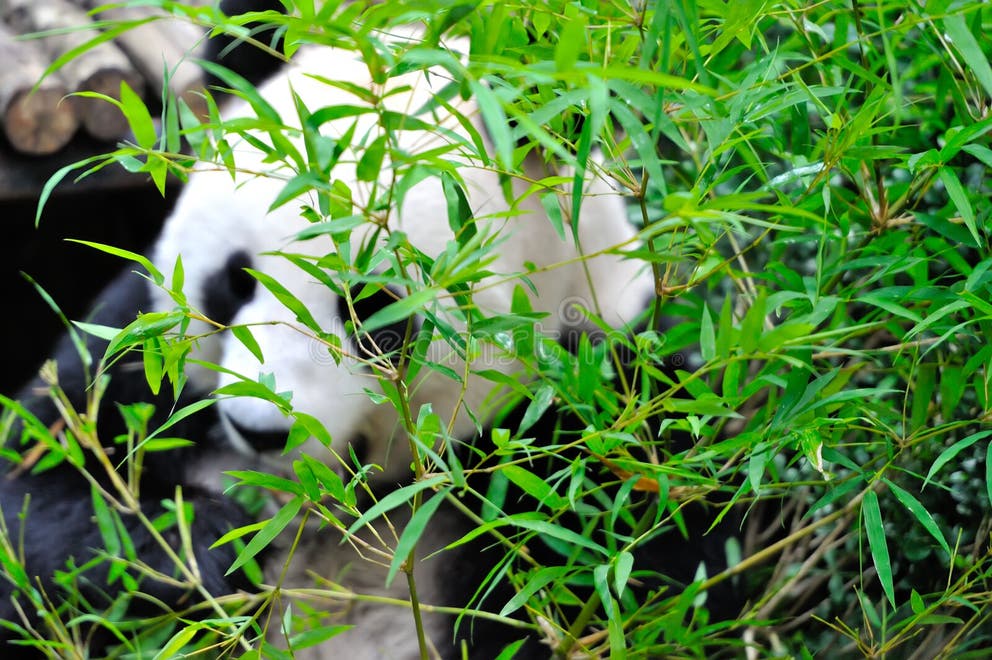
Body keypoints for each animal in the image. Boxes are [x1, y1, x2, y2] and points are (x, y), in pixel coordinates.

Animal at [0, 18, 738, 660]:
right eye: (234, 283)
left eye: (373, 313)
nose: (261, 431)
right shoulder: (137, 353)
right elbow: (35, 498)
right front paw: (205, 551)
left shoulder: (607, 410)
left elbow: (628, 576)